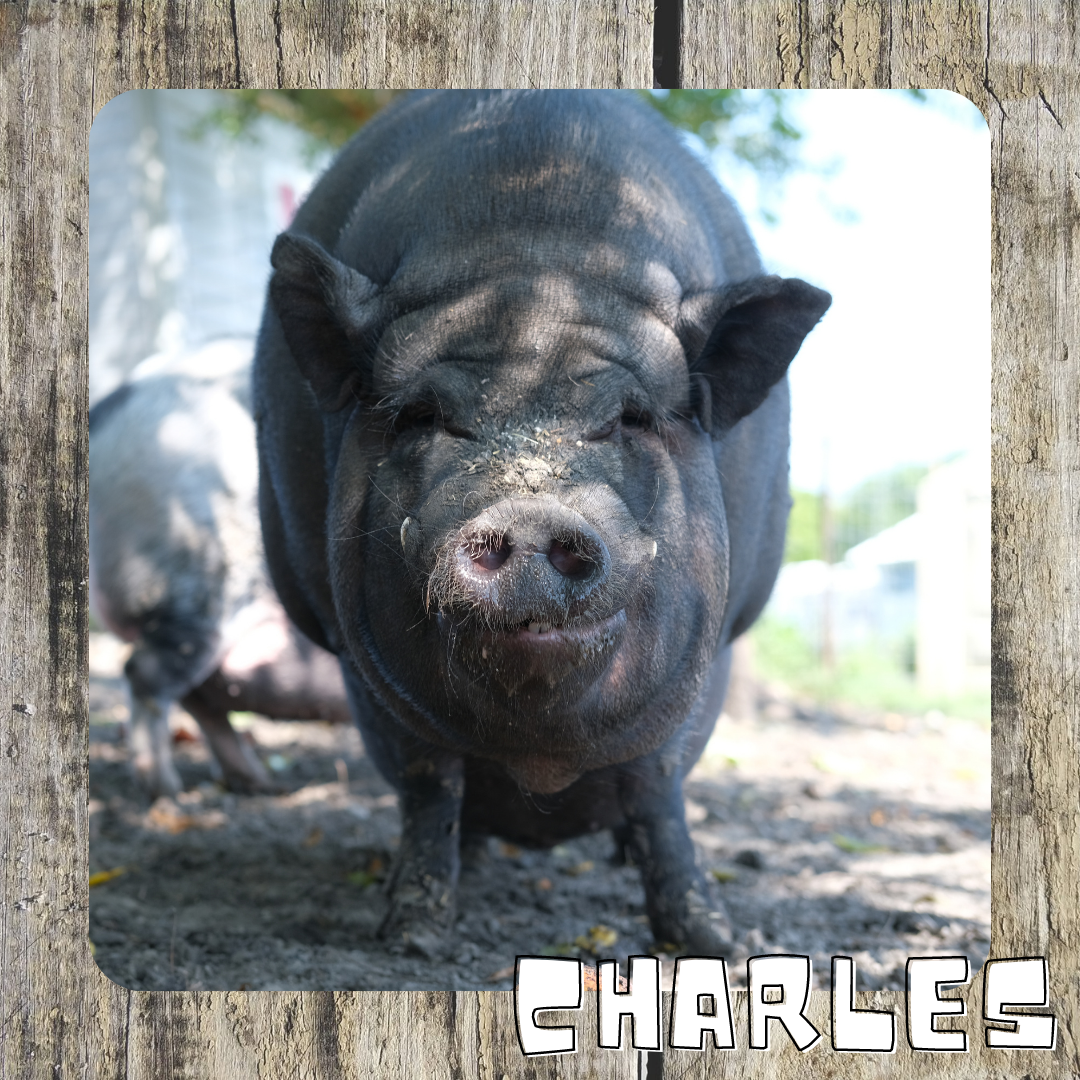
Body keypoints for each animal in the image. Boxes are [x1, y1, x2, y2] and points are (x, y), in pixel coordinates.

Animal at [254, 91, 831, 957]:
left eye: (630, 418)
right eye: (424, 416)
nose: (526, 517)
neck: (536, 268)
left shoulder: (713, 646)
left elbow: (660, 790)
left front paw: (717, 942)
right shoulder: (356, 651)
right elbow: (429, 780)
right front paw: (412, 936)